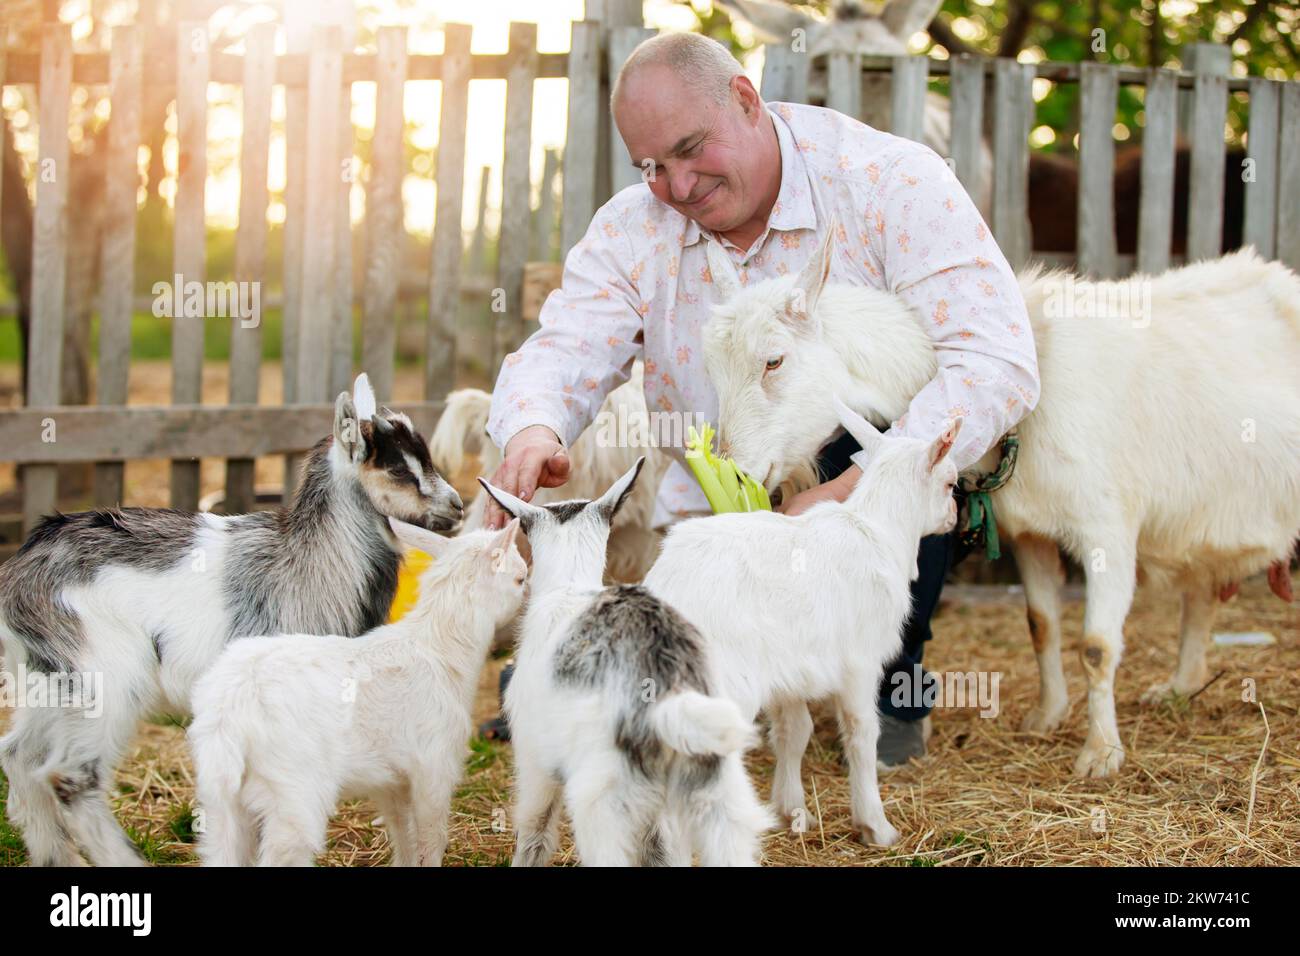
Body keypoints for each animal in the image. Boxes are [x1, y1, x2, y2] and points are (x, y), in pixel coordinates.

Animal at [0, 374, 464, 865]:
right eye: (396, 469)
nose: (455, 506)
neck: (309, 561)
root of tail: (18, 572)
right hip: (104, 676)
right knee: (70, 776)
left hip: (51, 681)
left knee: (19, 757)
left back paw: (53, 856)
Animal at [188, 519, 526, 867]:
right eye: (520, 578)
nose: (527, 602)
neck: (440, 649)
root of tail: (230, 707)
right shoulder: (434, 765)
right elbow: (432, 838)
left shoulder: (392, 780)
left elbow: (403, 835)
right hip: (292, 791)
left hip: (222, 800)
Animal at [479, 460, 772, 866]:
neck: (569, 586)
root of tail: (667, 692)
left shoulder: (534, 760)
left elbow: (534, 834)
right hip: (718, 800)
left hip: (603, 805)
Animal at [644, 401, 961, 847]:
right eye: (950, 483)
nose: (953, 517)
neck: (878, 530)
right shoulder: (859, 664)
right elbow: (862, 734)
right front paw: (876, 826)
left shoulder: (790, 671)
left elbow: (794, 732)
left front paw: (792, 808)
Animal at [702, 225, 1300, 778]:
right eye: (714, 370)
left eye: (774, 361)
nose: (736, 470)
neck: (1033, 397)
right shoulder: (1031, 532)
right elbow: (1041, 625)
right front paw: (1046, 716)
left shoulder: (1108, 530)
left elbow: (1096, 646)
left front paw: (1100, 754)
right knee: (1201, 591)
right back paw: (1177, 688)